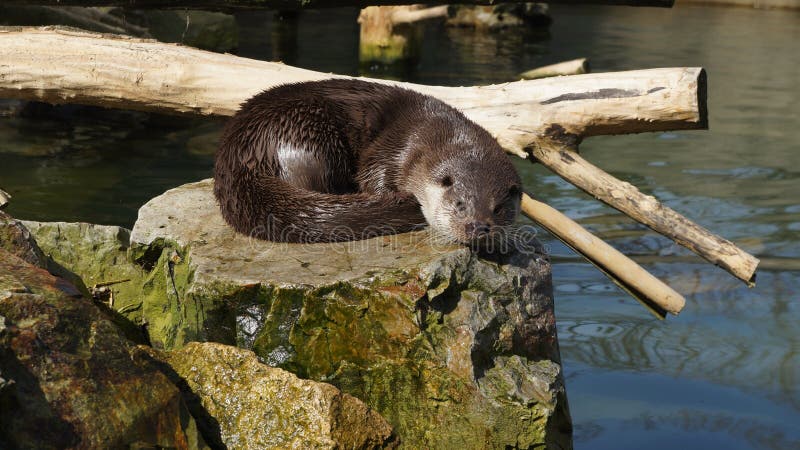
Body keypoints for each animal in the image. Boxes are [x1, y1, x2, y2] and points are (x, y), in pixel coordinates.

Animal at [213, 79, 522, 244]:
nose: (478, 227)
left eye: (498, 209)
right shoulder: (393, 149)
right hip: (307, 135)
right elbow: (373, 175)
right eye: (459, 204)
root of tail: (241, 153)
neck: (431, 135)